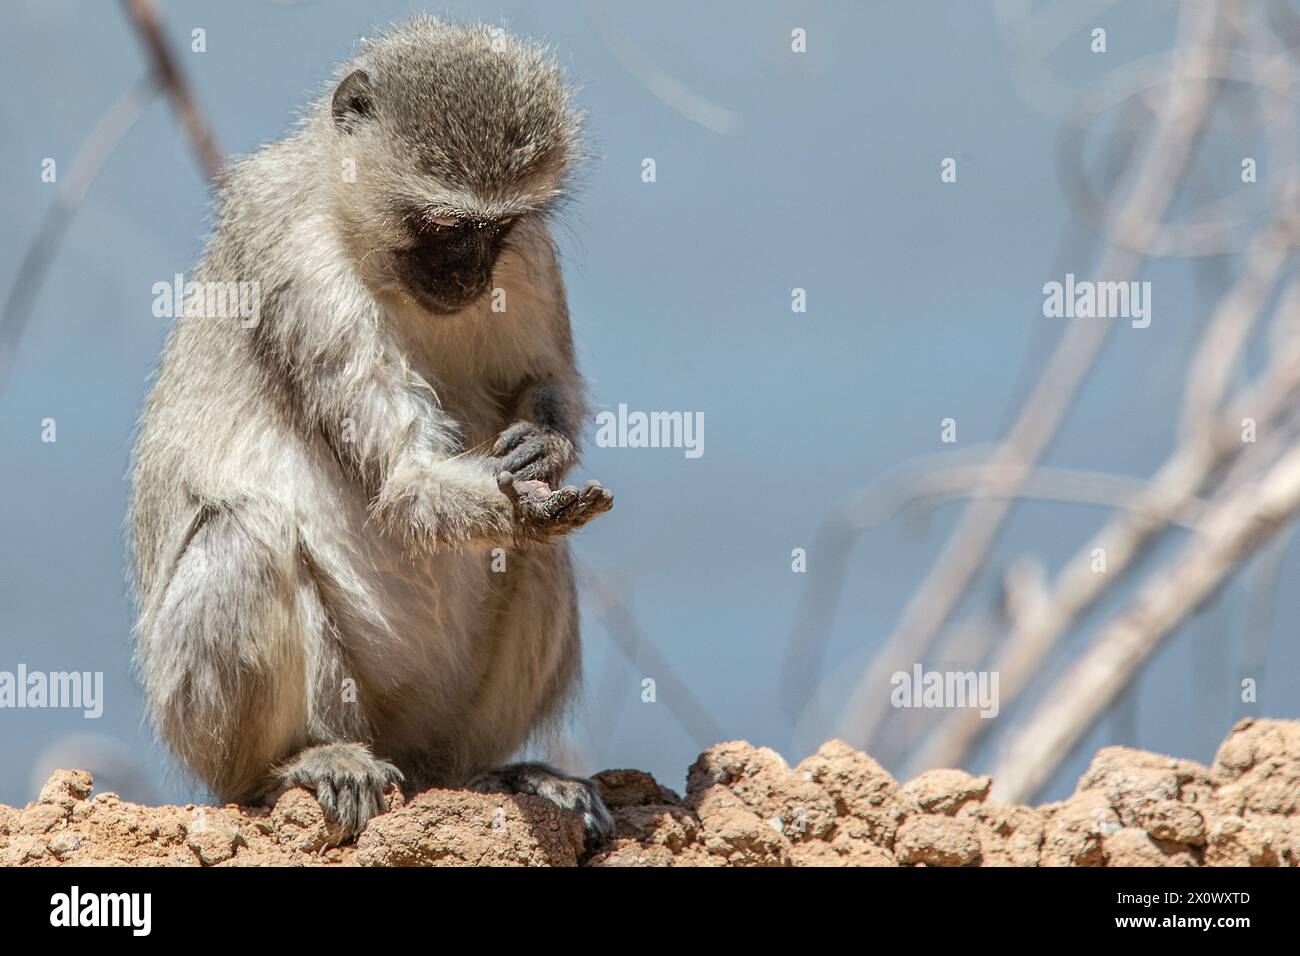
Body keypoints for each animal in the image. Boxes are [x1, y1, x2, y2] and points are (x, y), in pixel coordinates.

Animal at [127, 16, 617, 846]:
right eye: (444, 225)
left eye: (497, 227)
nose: (468, 276)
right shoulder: (298, 264)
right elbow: (405, 482)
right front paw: (518, 502)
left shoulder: (527, 256)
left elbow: (547, 379)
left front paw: (544, 444)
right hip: (234, 716)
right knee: (243, 531)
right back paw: (295, 764)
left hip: (446, 722)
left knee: (538, 564)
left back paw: (501, 774)